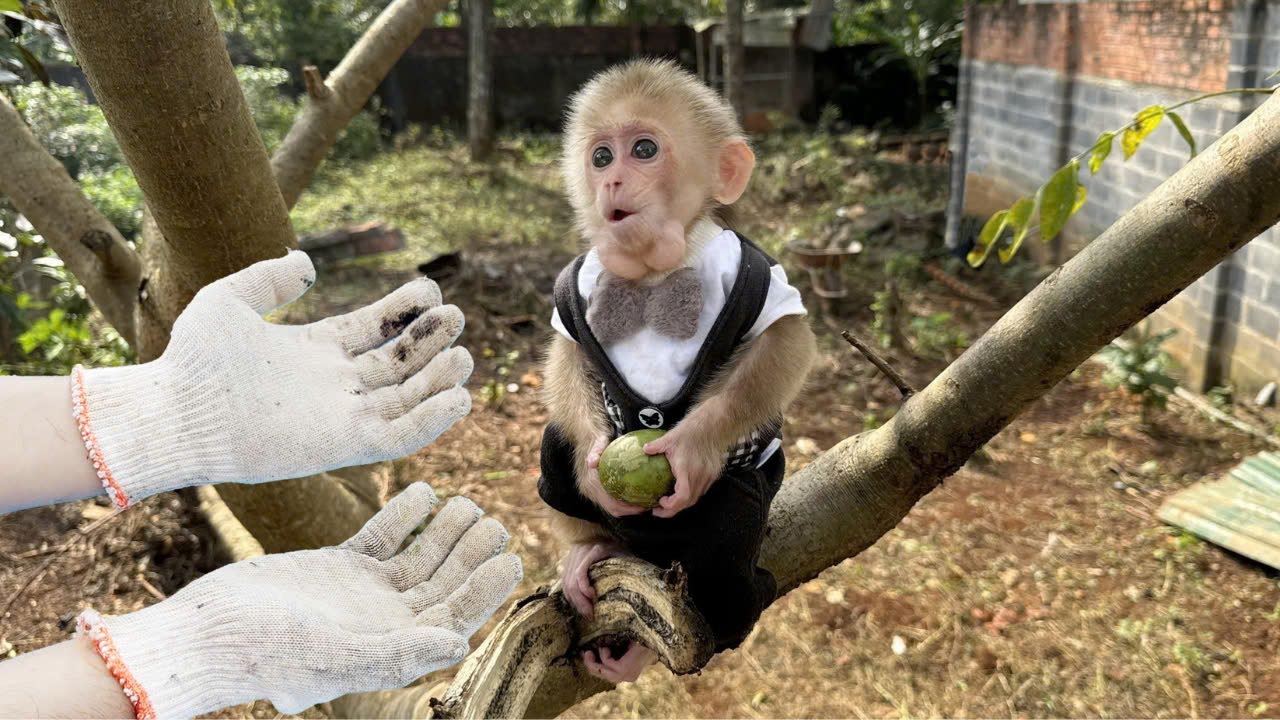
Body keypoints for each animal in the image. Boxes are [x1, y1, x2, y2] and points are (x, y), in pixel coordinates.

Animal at [537, 59, 818, 684]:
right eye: (600, 157)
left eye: (644, 150)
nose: (612, 182)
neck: (650, 279)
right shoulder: (579, 282)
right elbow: (568, 355)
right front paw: (595, 470)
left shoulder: (749, 270)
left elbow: (784, 341)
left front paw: (691, 449)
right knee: (554, 451)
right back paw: (591, 550)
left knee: (724, 538)